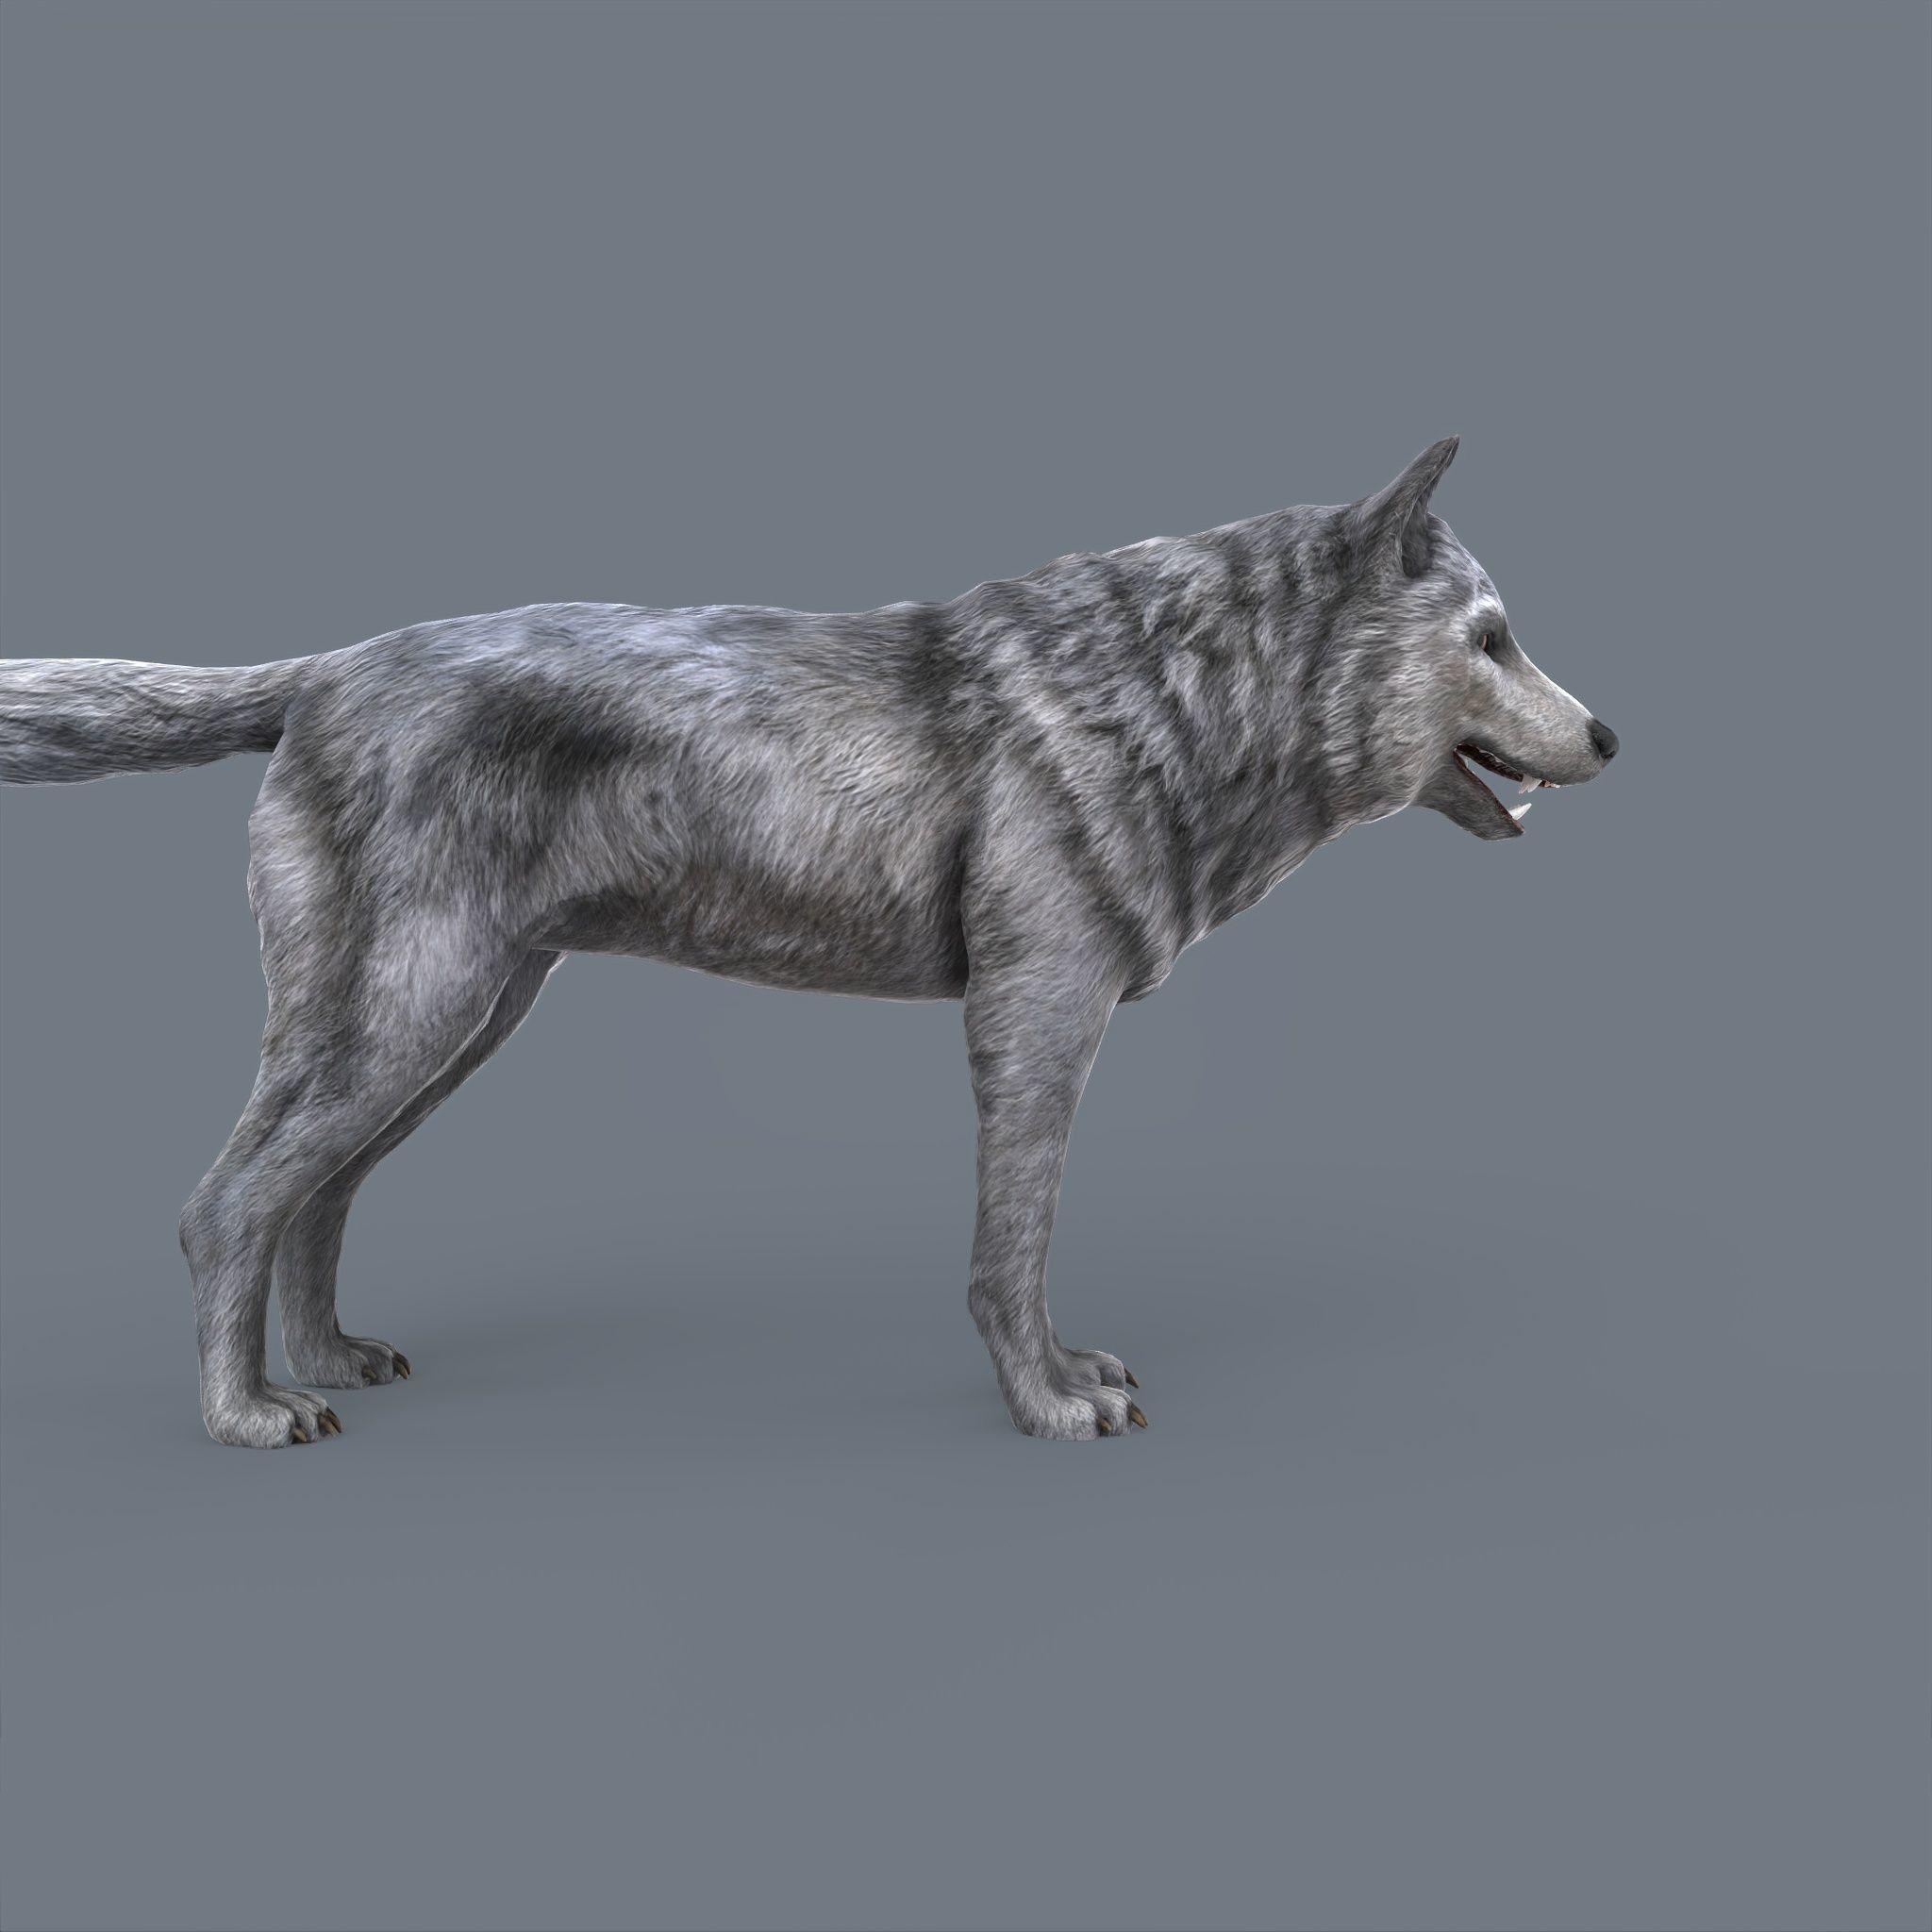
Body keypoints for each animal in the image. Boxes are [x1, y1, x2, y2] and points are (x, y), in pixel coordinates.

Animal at [1, 438, 1615, 1449]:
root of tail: (323, 667)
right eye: (1492, 636)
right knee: (228, 1205)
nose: (1610, 734)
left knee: (314, 1197)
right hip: (414, 1019)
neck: (1180, 698)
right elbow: (1010, 1245)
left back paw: (331, 1363)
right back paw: (247, 1416)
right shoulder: (1037, 1016)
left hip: (456, 1027)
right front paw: (1047, 1402)